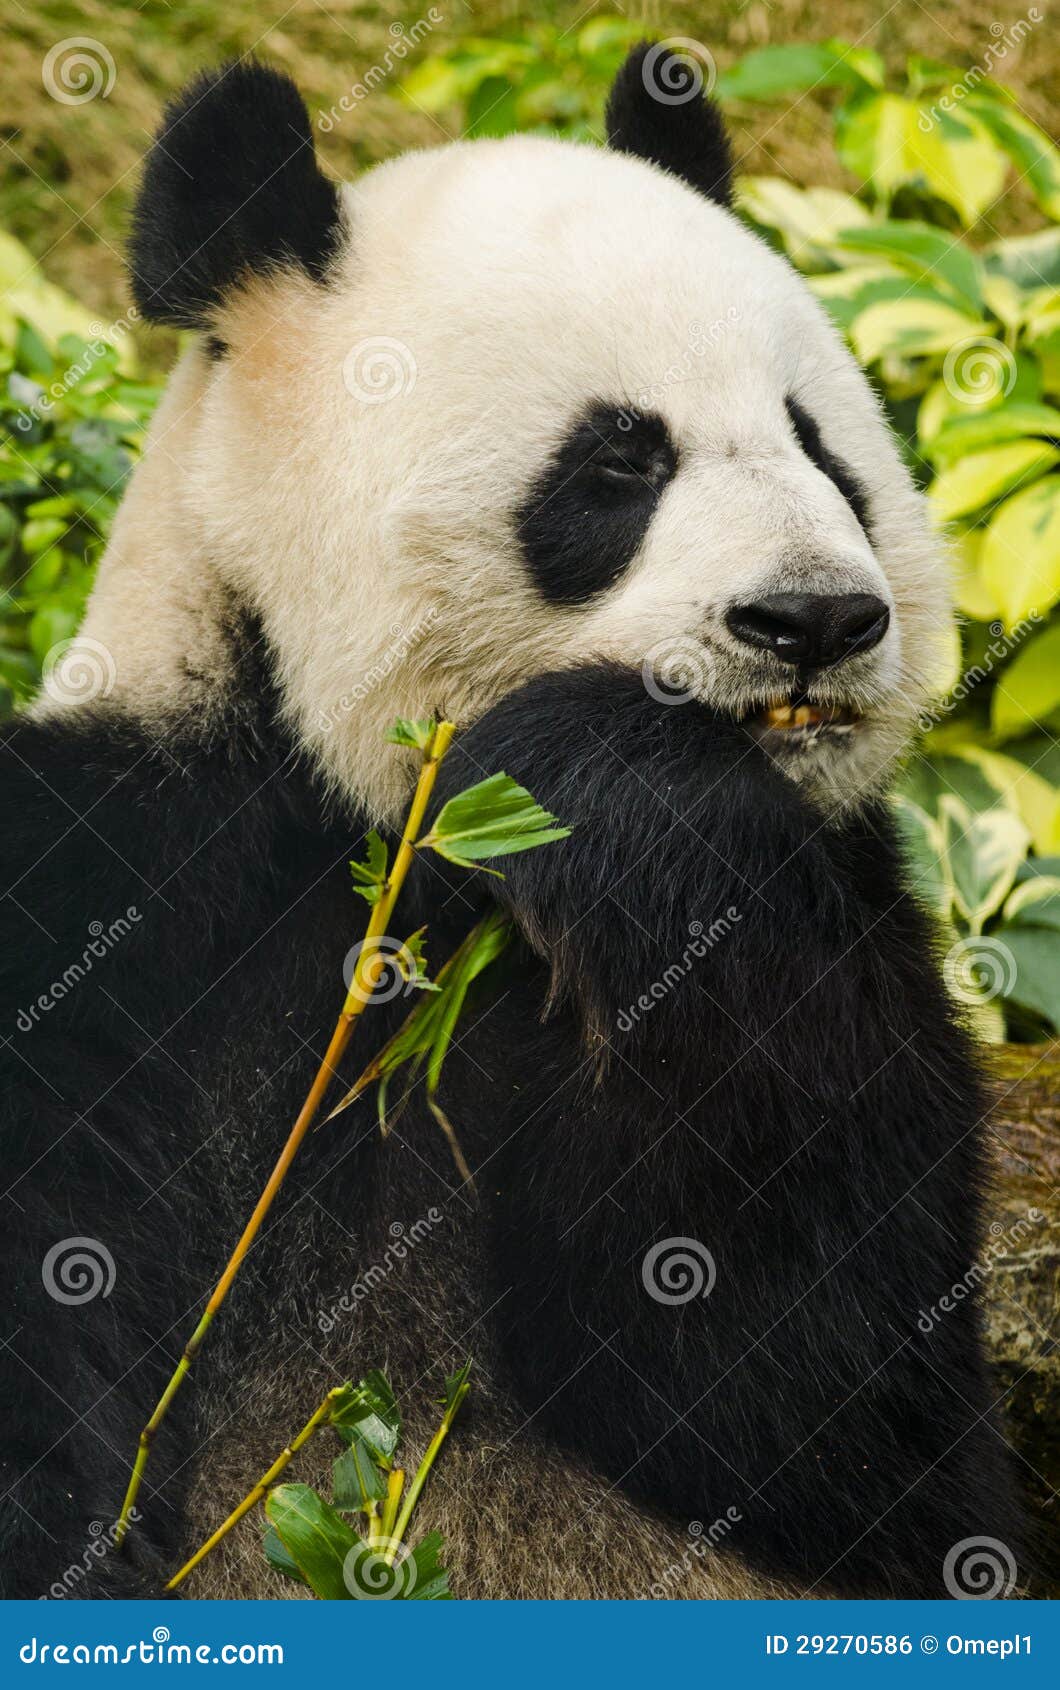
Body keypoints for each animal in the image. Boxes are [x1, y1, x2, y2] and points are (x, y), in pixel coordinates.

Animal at [0, 46, 1025, 1601]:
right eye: (616, 465)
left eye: (822, 449)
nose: (814, 619)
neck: (400, 860)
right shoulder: (128, 885)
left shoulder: (841, 913)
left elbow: (836, 1426)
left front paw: (606, 781)